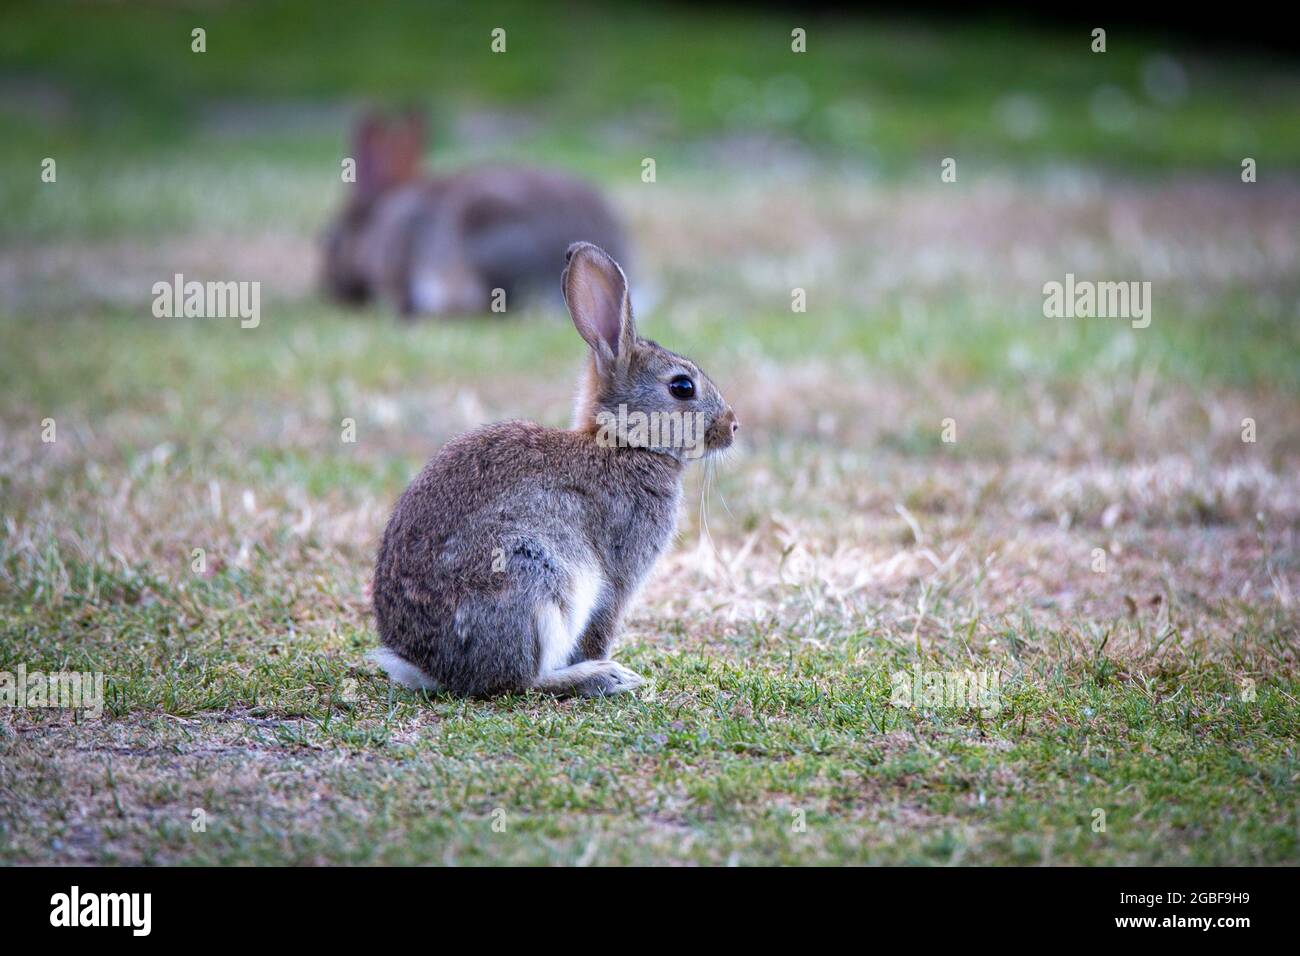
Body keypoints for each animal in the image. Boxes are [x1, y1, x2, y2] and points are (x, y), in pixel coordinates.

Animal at [369, 242, 739, 697]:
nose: (732, 426)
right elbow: (601, 628)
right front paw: (607, 666)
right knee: (519, 681)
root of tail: (429, 668)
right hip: (534, 578)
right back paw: (600, 676)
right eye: (682, 387)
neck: (623, 443)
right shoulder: (616, 577)